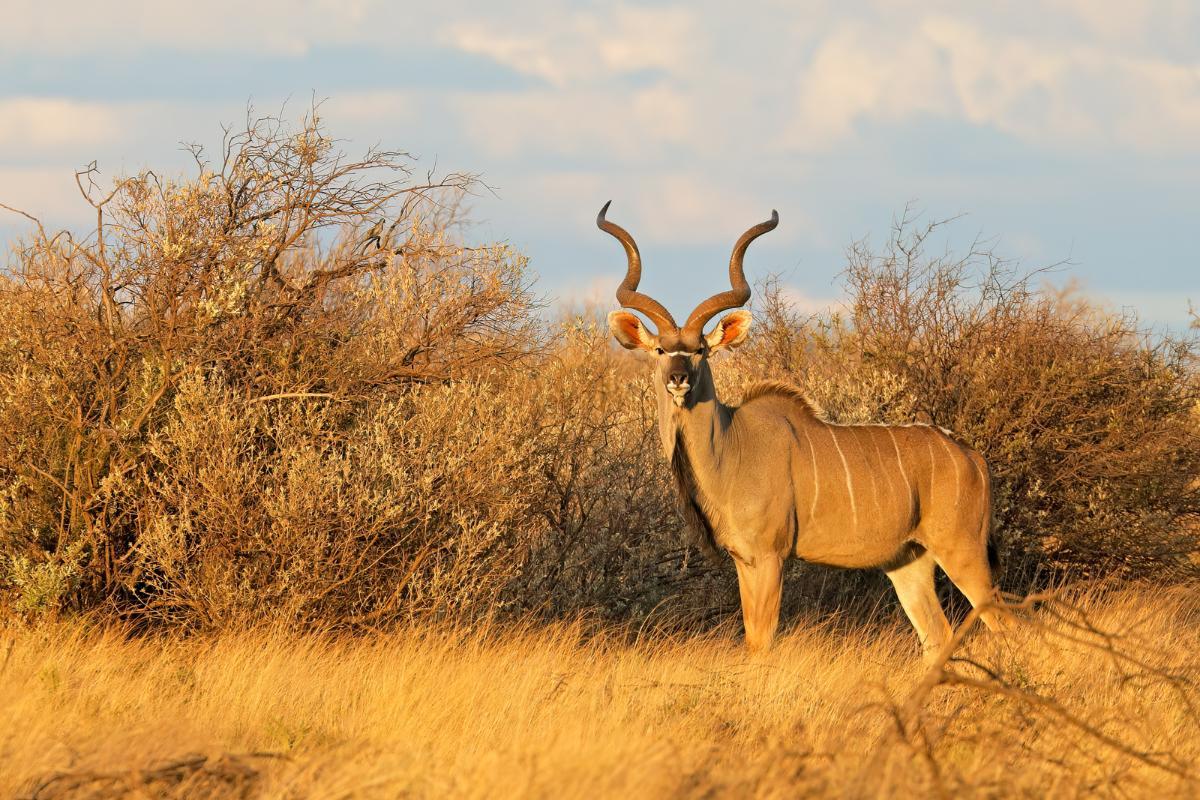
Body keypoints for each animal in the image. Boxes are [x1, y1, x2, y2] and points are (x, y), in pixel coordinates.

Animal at [598, 201, 1008, 658]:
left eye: (700, 350)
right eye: (659, 350)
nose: (678, 379)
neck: (732, 447)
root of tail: (972, 456)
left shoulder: (770, 557)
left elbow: (762, 640)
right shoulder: (744, 560)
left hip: (963, 551)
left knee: (1010, 624)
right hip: (909, 562)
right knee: (937, 635)